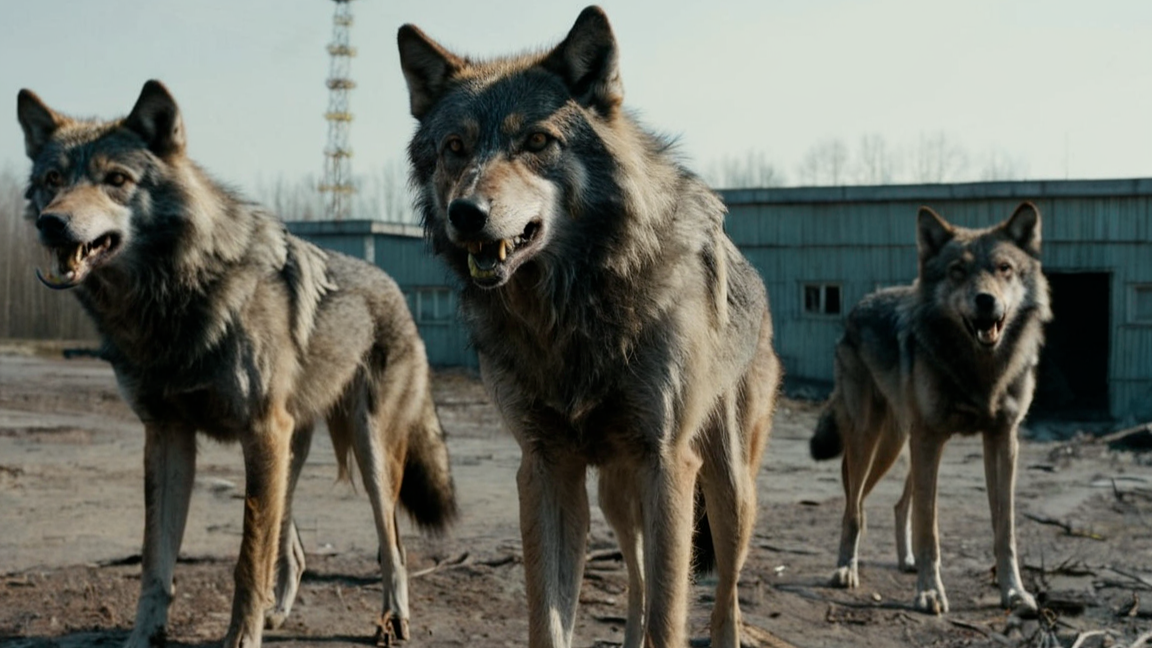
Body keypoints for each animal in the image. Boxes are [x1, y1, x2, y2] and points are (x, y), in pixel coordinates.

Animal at [17, 81, 457, 648]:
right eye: (52, 180)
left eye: (116, 180)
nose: (52, 223)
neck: (171, 301)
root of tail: (396, 289)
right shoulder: (167, 436)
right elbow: (156, 562)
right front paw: (144, 636)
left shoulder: (261, 430)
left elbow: (247, 560)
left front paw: (241, 637)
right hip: (289, 454)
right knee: (294, 549)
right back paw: (279, 613)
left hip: (368, 452)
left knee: (392, 545)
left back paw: (392, 621)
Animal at [398, 6, 781, 648]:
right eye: (455, 147)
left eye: (536, 141)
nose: (466, 213)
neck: (572, 308)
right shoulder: (545, 468)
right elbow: (550, 620)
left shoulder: (667, 464)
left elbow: (670, 619)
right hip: (615, 495)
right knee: (638, 578)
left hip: (726, 492)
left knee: (724, 592)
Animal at [810, 202, 1051, 615]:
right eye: (957, 271)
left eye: (1004, 268)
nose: (985, 300)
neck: (980, 370)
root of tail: (857, 307)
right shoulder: (930, 439)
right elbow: (929, 527)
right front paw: (929, 593)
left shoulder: (1002, 440)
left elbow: (1004, 529)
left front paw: (1014, 592)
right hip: (872, 443)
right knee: (854, 508)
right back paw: (845, 569)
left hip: (903, 447)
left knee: (896, 504)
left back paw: (905, 561)